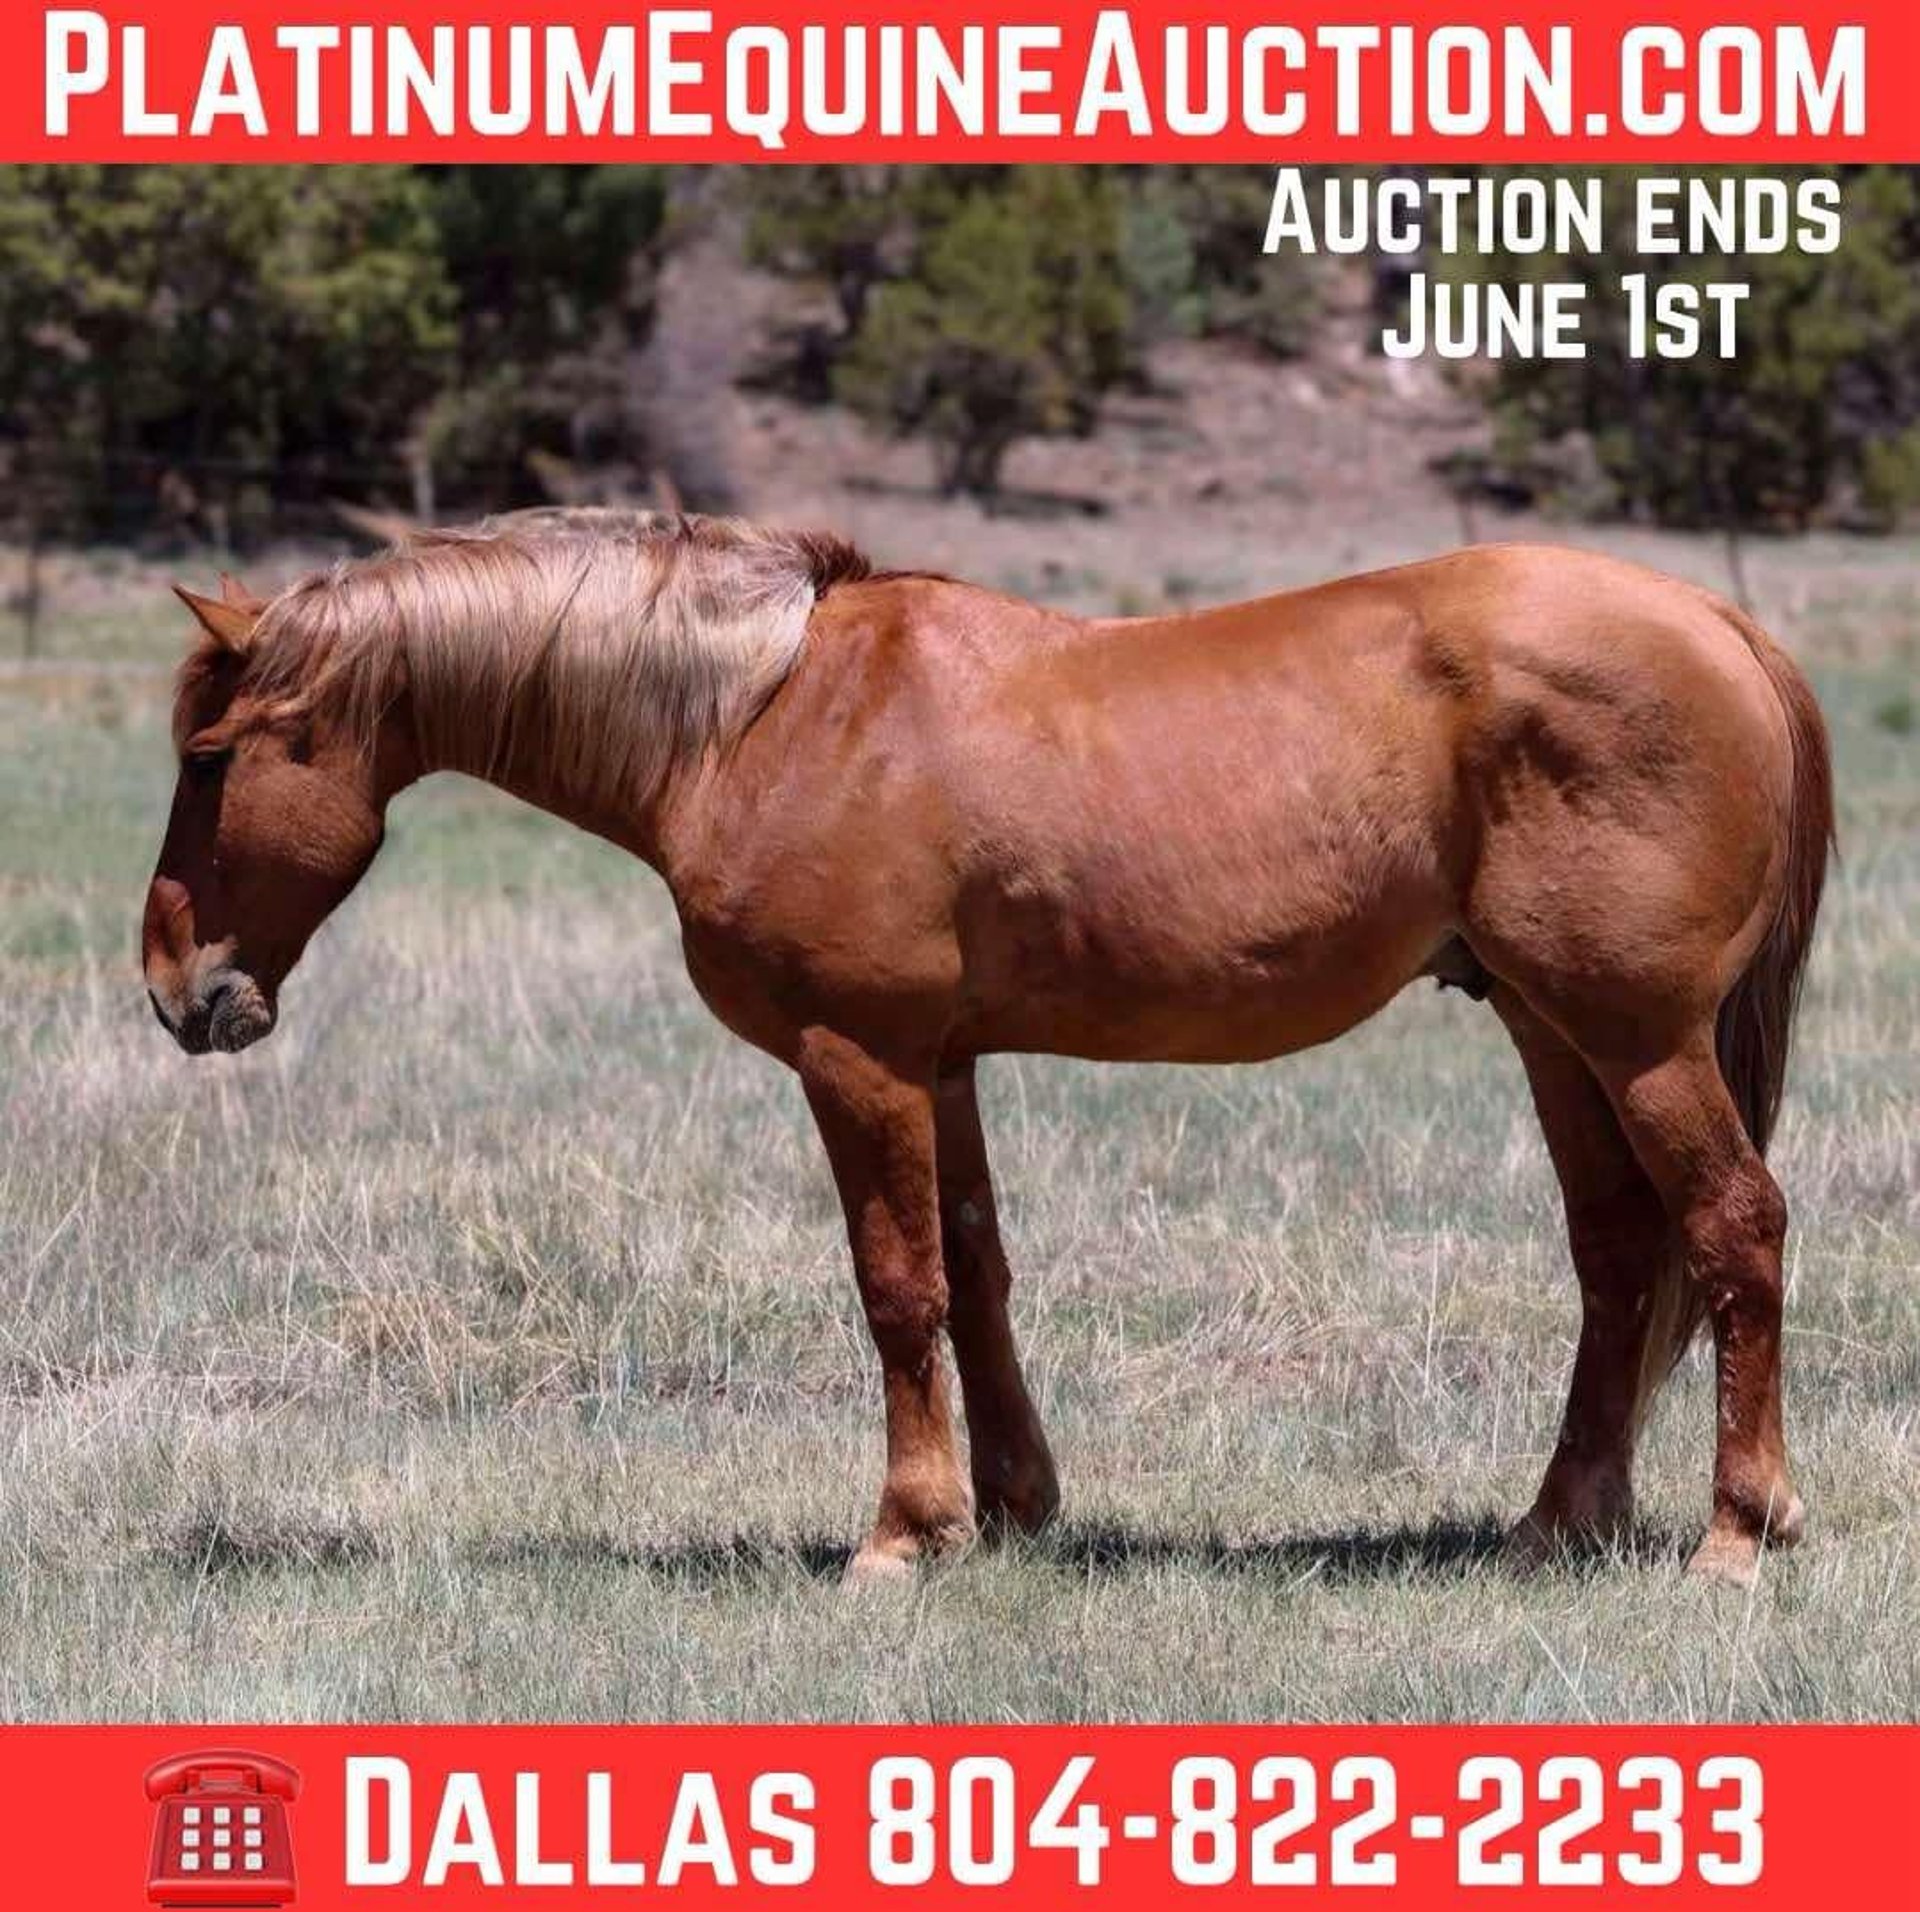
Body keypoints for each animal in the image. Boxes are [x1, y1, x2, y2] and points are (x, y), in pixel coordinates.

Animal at [142, 510, 1832, 1588]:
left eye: (211, 757)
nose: (177, 989)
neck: (762, 716)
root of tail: (1721, 624)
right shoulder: (940, 1064)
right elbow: (975, 1269)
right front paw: (1014, 1508)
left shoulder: (859, 1058)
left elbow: (897, 1290)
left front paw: (904, 1533)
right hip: (1556, 1032)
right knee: (1621, 1254)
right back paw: (1560, 1523)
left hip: (1638, 1036)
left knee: (1736, 1227)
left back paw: (1739, 1531)